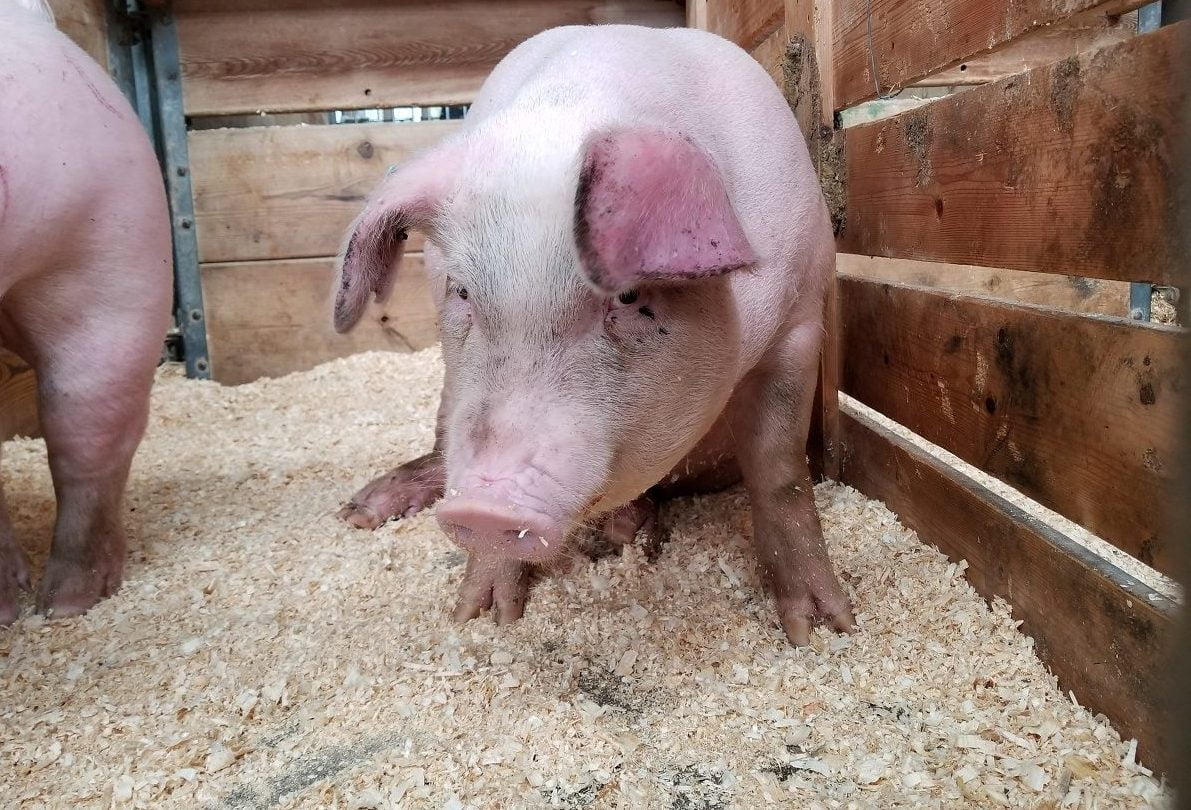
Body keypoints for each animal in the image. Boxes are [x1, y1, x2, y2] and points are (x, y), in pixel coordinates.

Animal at [333, 24, 854, 645]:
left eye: (627, 298)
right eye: (461, 292)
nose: (484, 508)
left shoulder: (801, 316)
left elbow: (780, 470)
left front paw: (824, 630)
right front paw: (480, 616)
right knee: (440, 450)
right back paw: (358, 511)